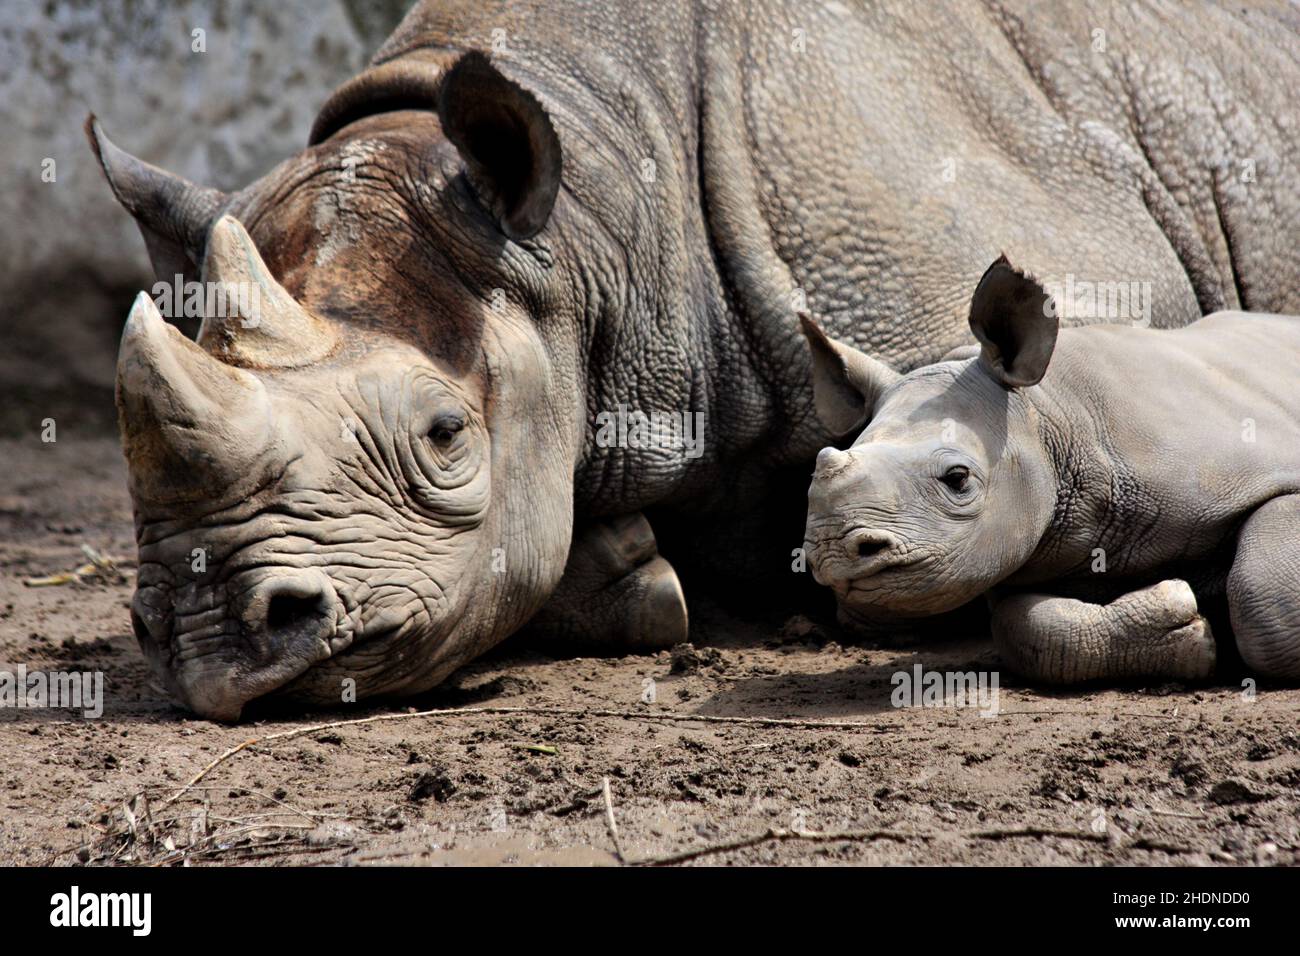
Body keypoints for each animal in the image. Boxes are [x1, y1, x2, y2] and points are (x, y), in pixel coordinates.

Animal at [803, 257, 1300, 683]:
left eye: (958, 479)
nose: (832, 551)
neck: (1046, 417)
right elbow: (1026, 628)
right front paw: (1184, 626)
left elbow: (1264, 598)